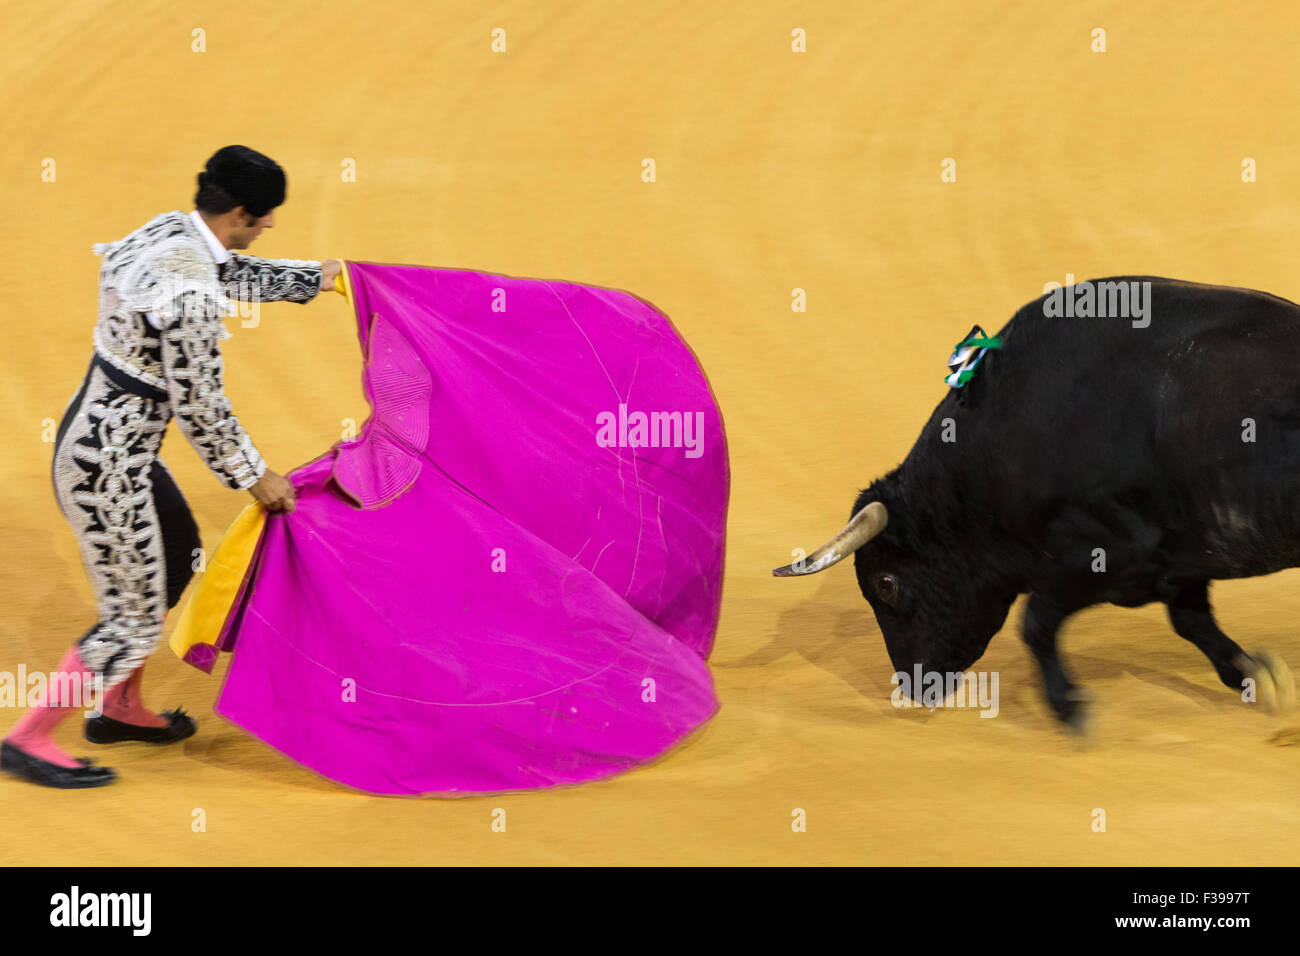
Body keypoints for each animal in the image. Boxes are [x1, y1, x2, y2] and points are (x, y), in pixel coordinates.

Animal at [774, 277, 1294, 723]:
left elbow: (1036, 623)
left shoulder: (1108, 553)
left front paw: (1069, 708)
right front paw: (1259, 678)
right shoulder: (1174, 564)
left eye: (885, 582)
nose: (913, 687)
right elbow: (1192, 621)